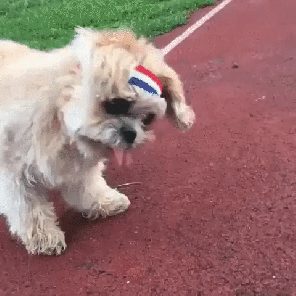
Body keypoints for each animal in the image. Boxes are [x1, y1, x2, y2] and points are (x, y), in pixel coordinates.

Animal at [0, 27, 195, 254]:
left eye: (147, 119)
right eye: (116, 104)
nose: (131, 134)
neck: (58, 120)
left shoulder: (77, 167)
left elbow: (88, 187)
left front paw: (105, 202)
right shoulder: (14, 173)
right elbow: (28, 207)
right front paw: (45, 238)